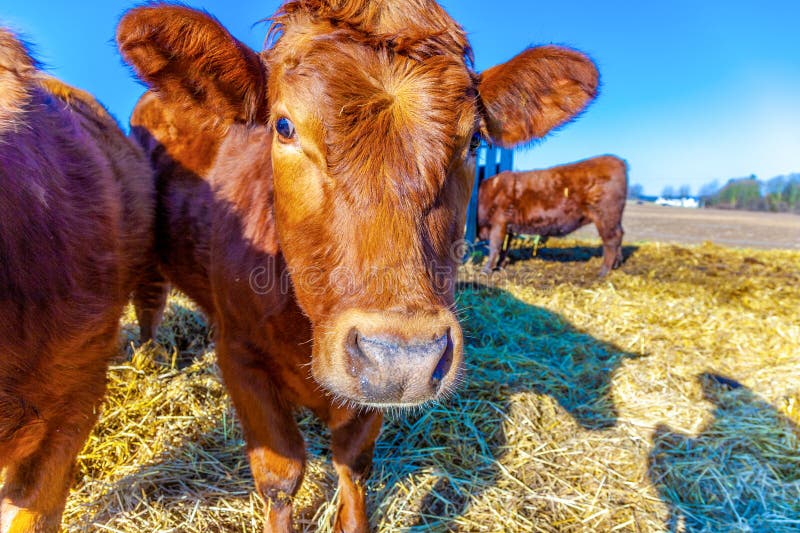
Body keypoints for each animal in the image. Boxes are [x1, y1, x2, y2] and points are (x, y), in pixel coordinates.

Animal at [116, 2, 599, 530]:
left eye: (474, 141)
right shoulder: (239, 356)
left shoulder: (369, 405)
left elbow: (353, 465)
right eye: (283, 127)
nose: (402, 360)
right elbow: (281, 477)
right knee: (149, 301)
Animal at [478, 155, 627, 276]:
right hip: (614, 218)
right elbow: (505, 248)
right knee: (619, 235)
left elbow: (495, 246)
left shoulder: (499, 221)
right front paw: (499, 266)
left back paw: (603, 271)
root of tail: (618, 161)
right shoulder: (509, 226)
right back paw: (616, 264)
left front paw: (486, 270)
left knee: (611, 240)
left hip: (605, 215)